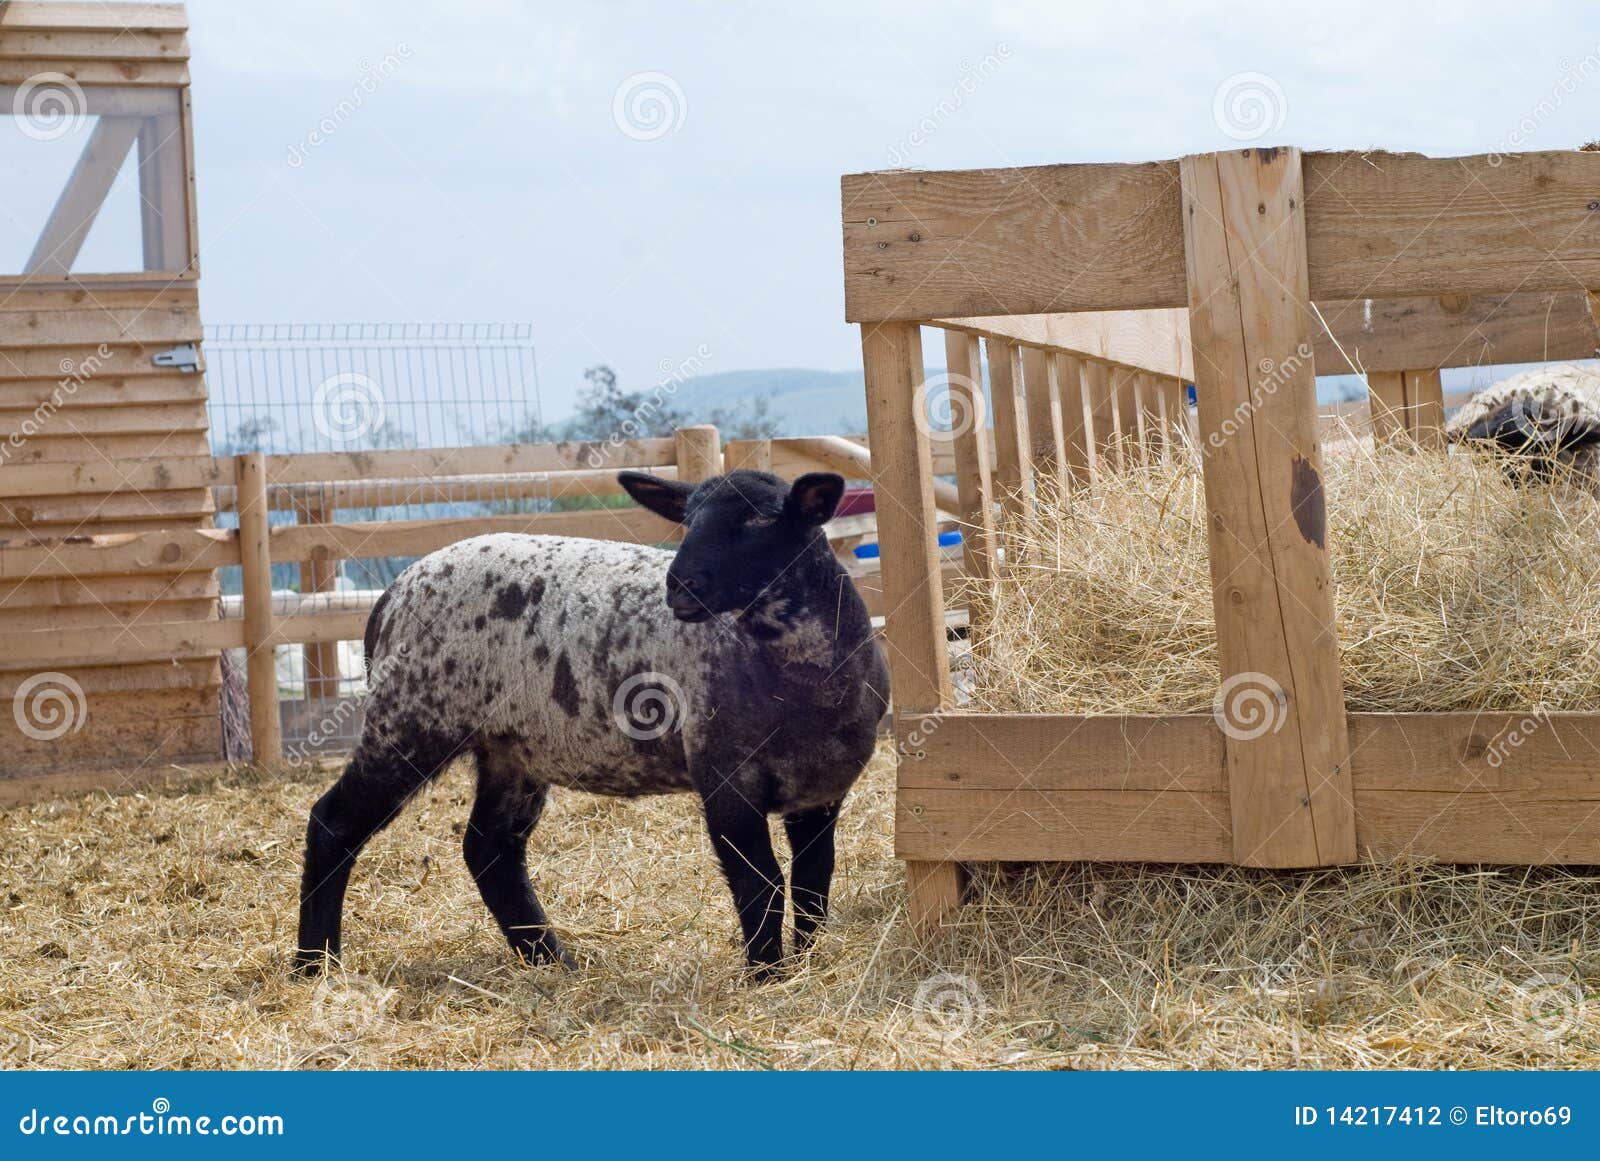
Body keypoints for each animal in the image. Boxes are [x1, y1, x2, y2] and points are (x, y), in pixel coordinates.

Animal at [295, 468, 890, 977]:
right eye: (688, 519)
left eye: (761, 520)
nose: (680, 585)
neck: (800, 678)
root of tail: (391, 596)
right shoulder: (724, 775)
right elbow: (759, 885)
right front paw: (767, 975)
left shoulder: (821, 790)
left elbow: (814, 885)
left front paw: (805, 964)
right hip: (411, 717)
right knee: (334, 822)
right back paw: (314, 963)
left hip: (512, 747)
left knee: (490, 849)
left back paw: (552, 961)